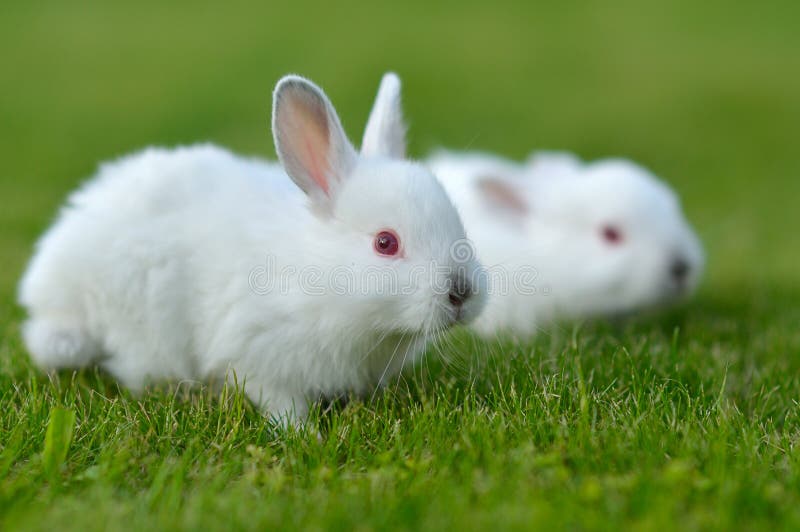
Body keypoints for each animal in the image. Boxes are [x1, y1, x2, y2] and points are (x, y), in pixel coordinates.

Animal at [18, 73, 485, 422]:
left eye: (458, 221)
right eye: (385, 243)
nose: (462, 293)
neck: (319, 274)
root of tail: (51, 293)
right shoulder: (258, 355)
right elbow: (280, 402)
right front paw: (303, 434)